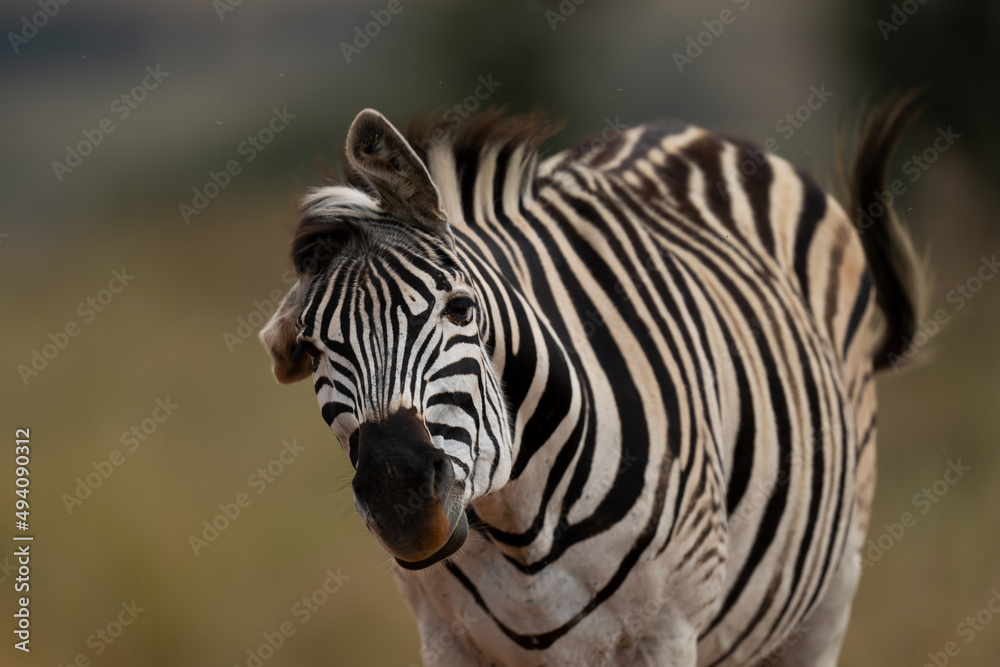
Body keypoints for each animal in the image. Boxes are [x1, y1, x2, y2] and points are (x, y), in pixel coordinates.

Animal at [260, 96, 922, 666]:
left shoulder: (666, 632)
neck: (517, 524)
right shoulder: (447, 639)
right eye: (313, 350)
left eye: (461, 309)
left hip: (831, 588)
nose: (402, 504)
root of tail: (687, 132)